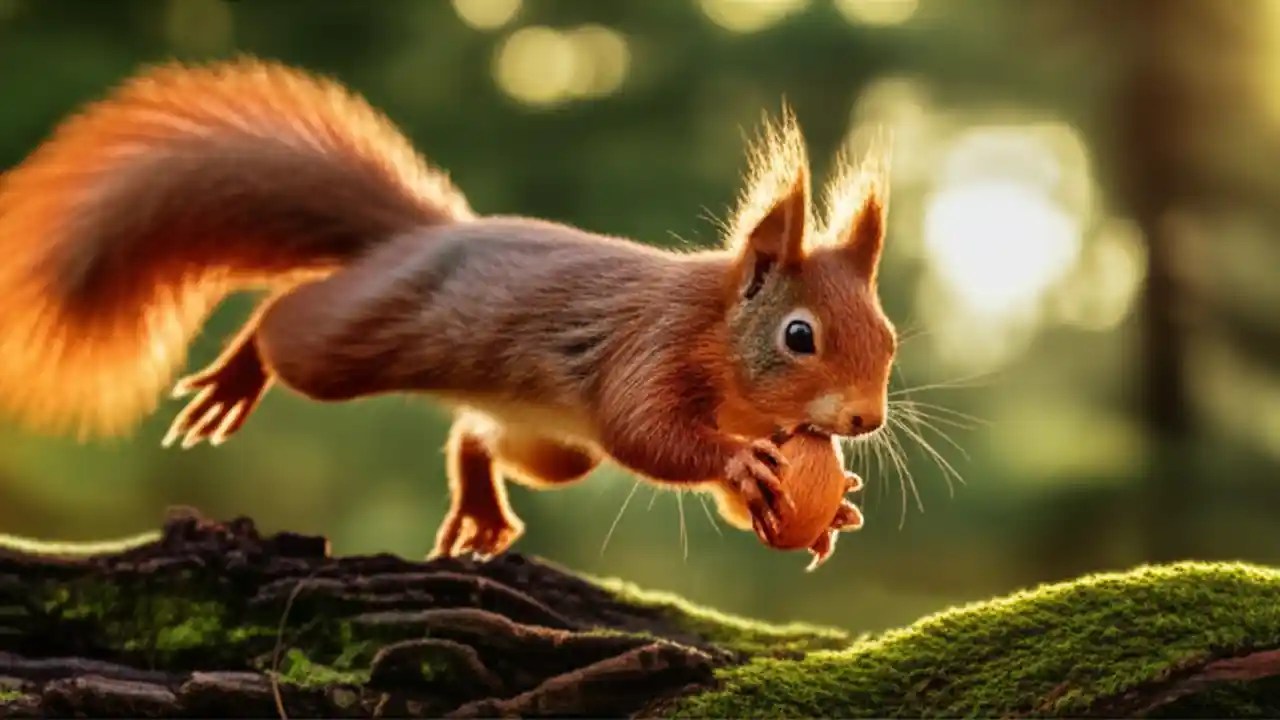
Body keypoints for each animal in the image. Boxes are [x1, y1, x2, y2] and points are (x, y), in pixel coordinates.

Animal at [0, 58, 896, 559]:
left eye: (888, 339)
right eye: (799, 335)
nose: (867, 420)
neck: (720, 333)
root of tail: (418, 236)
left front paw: (831, 511)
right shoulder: (651, 347)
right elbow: (646, 432)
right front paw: (738, 465)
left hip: (552, 448)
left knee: (475, 432)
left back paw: (480, 508)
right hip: (354, 338)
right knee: (289, 318)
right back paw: (238, 374)